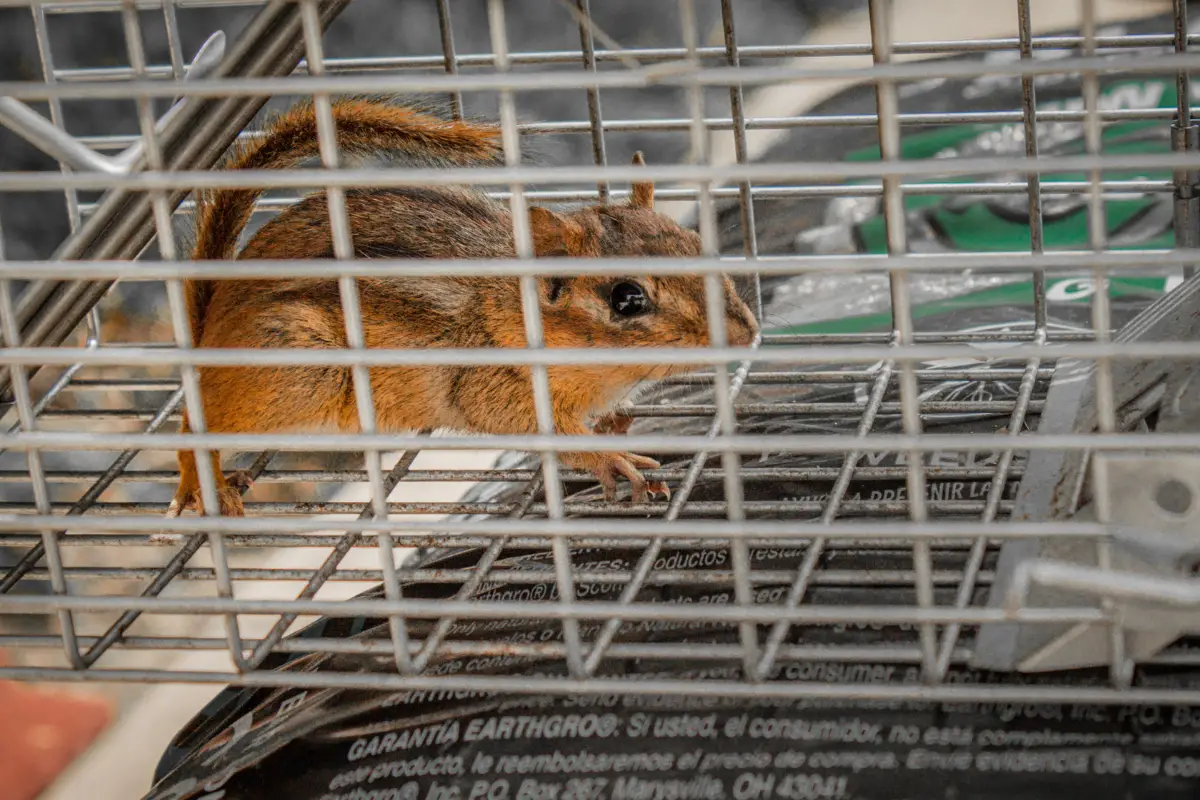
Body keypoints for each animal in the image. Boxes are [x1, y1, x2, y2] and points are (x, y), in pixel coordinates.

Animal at [171, 97, 758, 517]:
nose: (747, 332)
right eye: (627, 298)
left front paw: (615, 420)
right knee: (191, 426)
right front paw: (609, 456)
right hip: (293, 372)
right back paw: (205, 486)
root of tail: (206, 326)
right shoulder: (497, 389)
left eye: (694, 242)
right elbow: (546, 433)